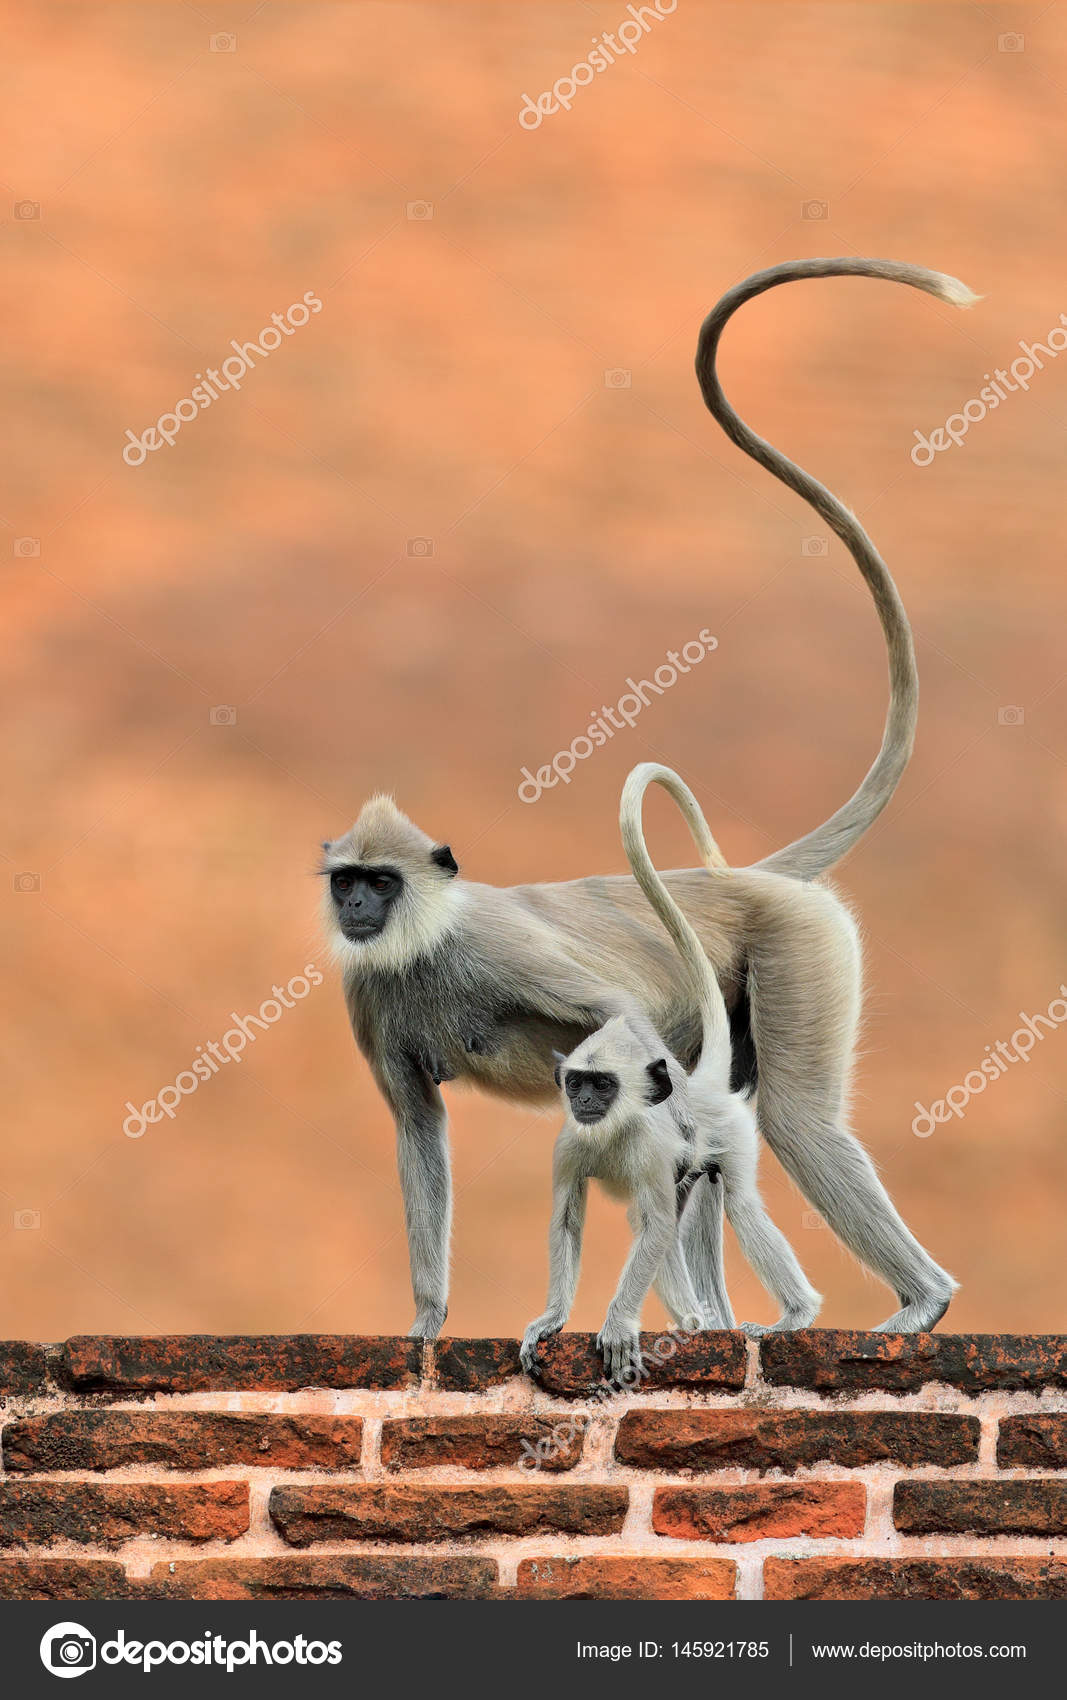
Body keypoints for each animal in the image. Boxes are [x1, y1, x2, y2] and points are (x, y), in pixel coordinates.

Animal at [322, 256, 970, 1339]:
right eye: (347, 882)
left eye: (382, 878)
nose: (360, 904)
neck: (425, 944)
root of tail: (740, 878)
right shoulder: (370, 996)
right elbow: (417, 1127)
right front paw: (425, 1322)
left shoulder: (502, 949)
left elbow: (613, 1014)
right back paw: (718, 1316)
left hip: (799, 948)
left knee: (789, 1117)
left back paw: (916, 1299)